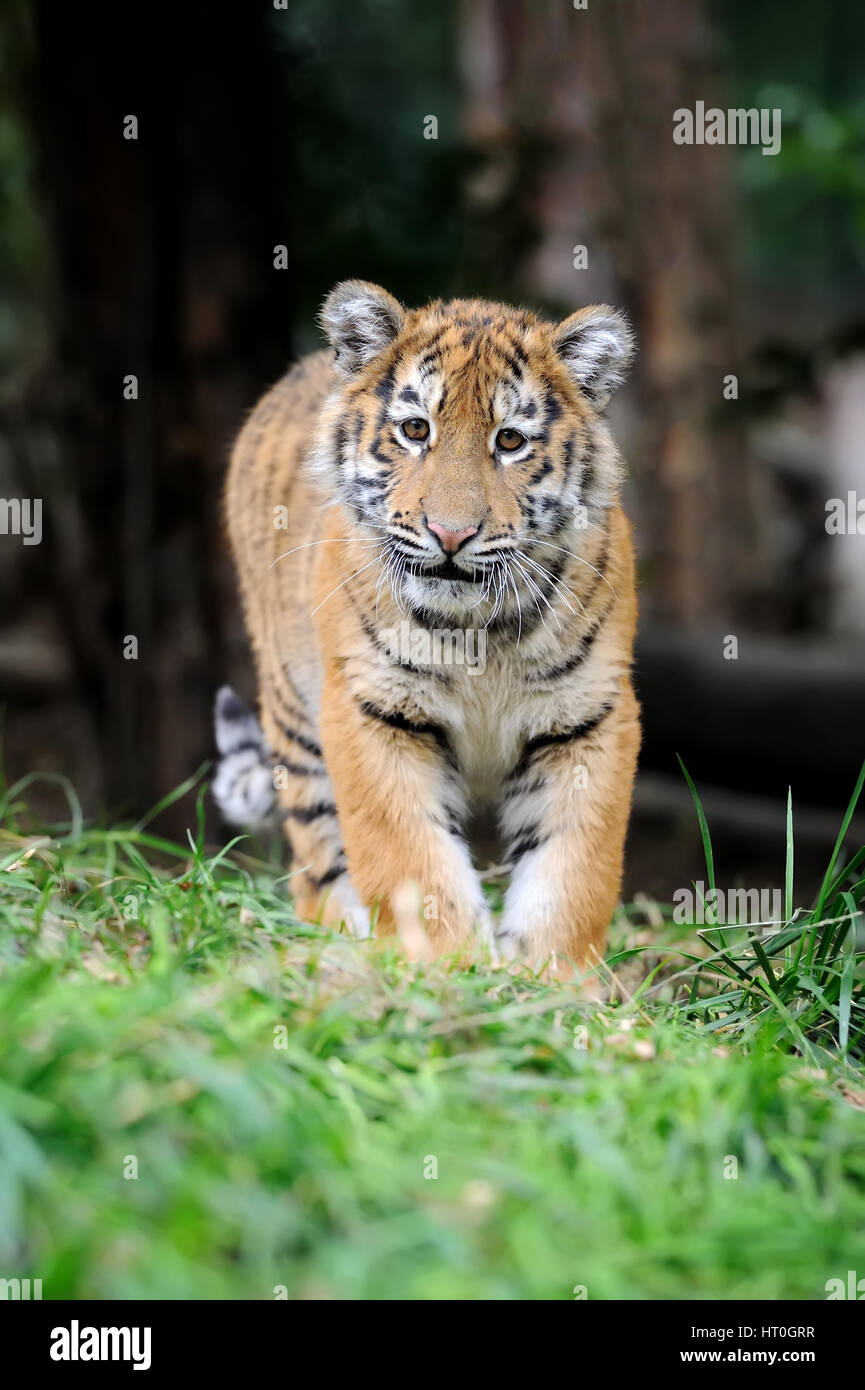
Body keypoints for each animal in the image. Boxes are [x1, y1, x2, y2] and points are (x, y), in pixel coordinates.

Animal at [214, 279, 641, 973]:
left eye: (511, 441)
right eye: (416, 430)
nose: (450, 534)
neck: (481, 636)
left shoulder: (589, 716)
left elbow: (573, 869)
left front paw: (554, 979)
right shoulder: (371, 708)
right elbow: (411, 856)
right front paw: (446, 967)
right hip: (295, 718)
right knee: (317, 867)